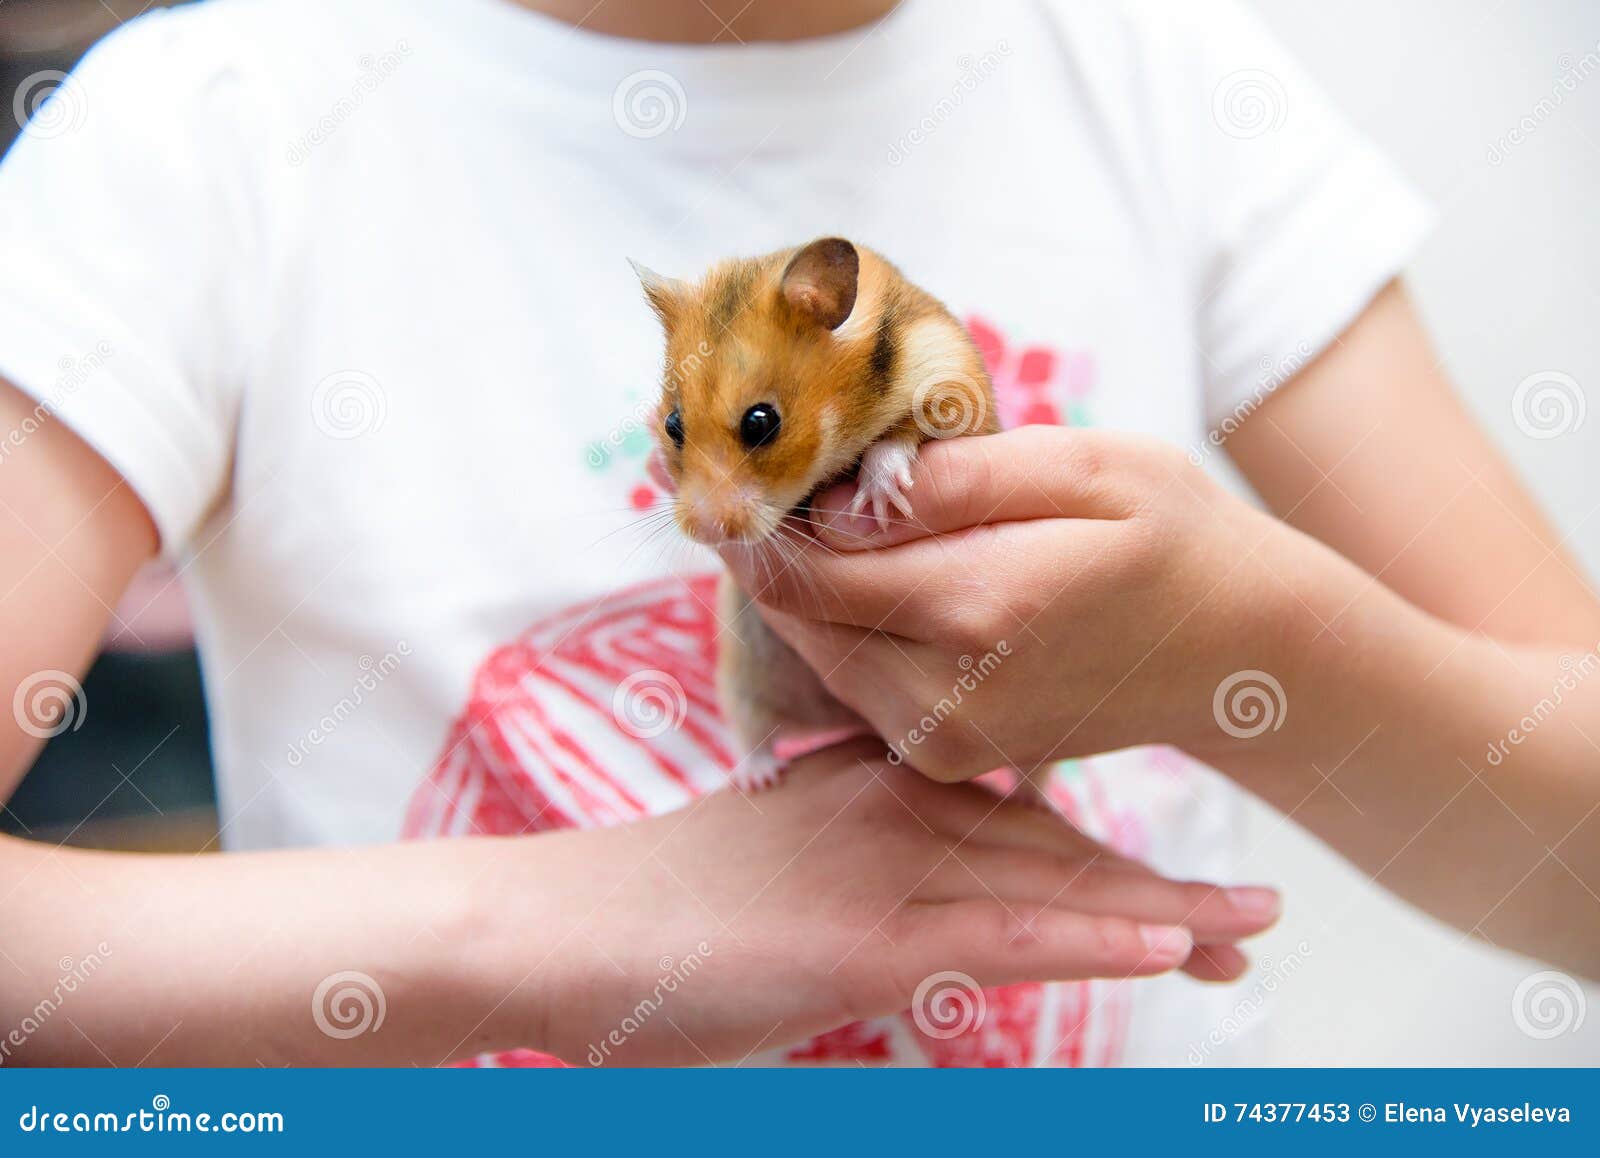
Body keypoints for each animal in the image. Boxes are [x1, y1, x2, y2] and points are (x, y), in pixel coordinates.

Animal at [634, 237, 1001, 794]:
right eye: (674, 423)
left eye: (761, 422)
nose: (707, 532)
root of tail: (835, 720)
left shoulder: (956, 390)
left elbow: (898, 438)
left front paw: (876, 507)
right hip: (742, 685)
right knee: (754, 735)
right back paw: (758, 781)